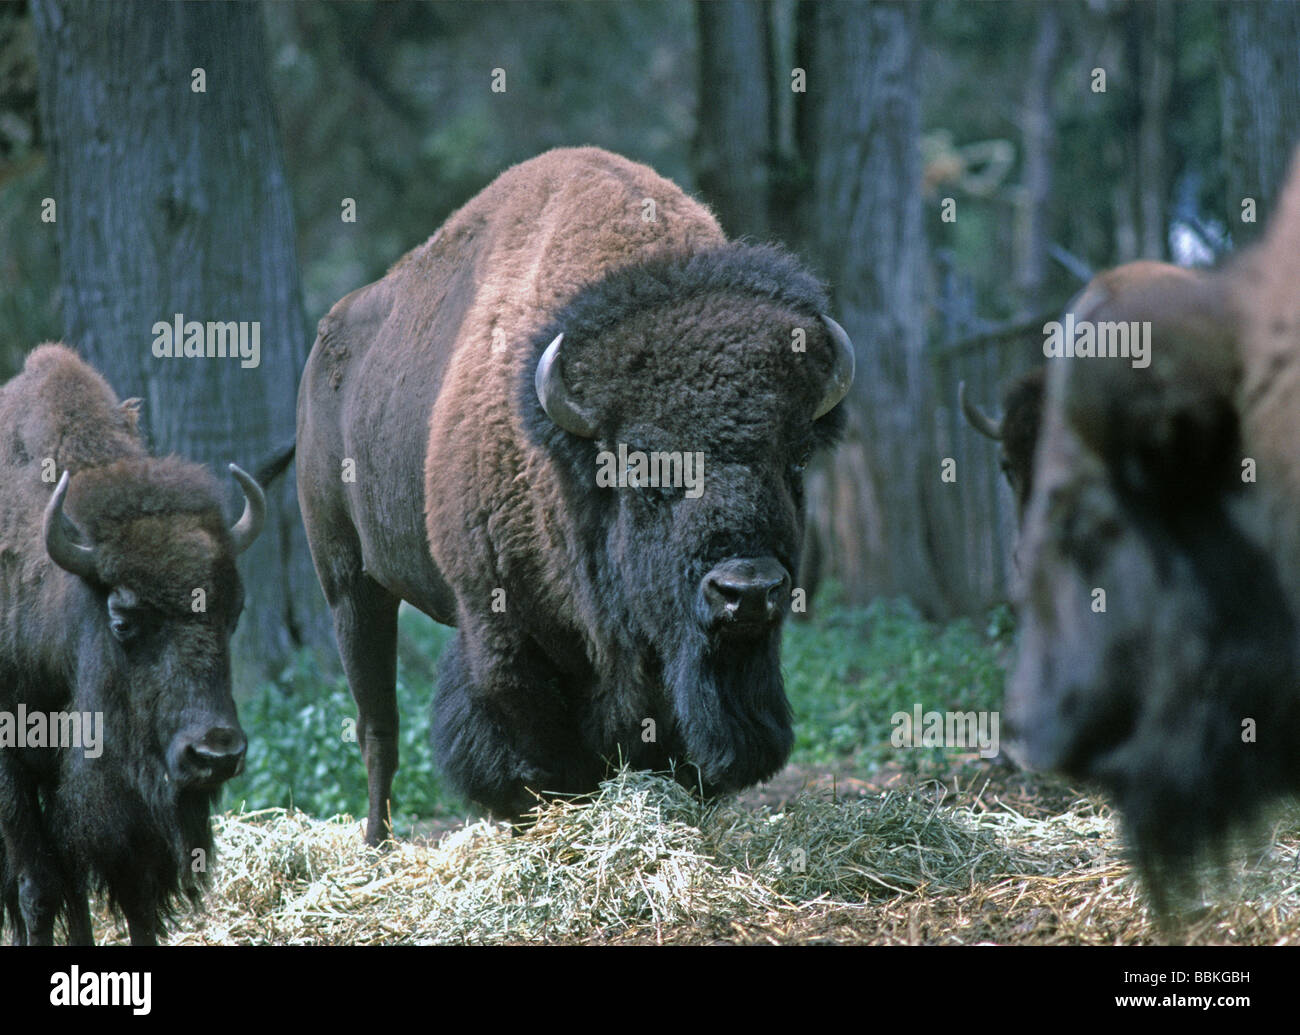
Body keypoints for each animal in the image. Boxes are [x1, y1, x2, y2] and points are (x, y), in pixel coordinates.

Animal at [297, 147, 854, 842]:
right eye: (643, 464)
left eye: (796, 458)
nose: (747, 589)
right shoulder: (501, 628)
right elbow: (534, 751)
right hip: (347, 582)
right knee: (378, 726)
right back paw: (376, 846)